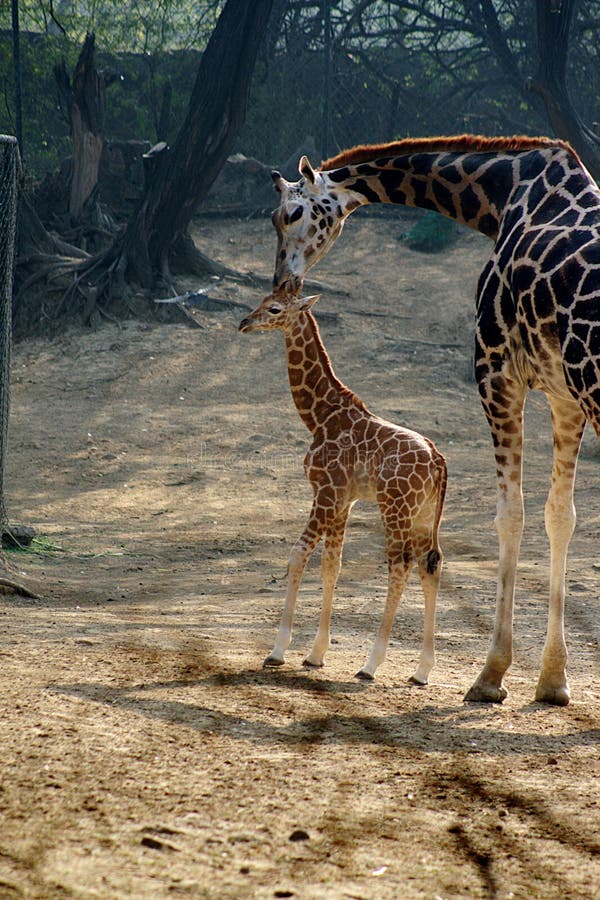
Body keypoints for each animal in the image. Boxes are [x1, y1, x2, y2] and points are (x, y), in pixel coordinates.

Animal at [239, 292, 447, 682]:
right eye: (263, 299)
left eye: (275, 308)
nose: (244, 323)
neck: (319, 416)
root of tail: (438, 461)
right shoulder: (343, 501)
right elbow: (331, 566)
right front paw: (315, 654)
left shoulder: (325, 491)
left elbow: (298, 557)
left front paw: (278, 651)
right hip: (425, 514)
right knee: (431, 565)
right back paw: (422, 671)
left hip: (395, 508)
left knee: (400, 566)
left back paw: (370, 665)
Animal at [268, 134, 600, 706]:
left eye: (289, 214)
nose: (282, 281)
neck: (499, 197)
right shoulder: (563, 395)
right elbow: (560, 515)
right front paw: (552, 681)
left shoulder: (496, 368)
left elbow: (510, 515)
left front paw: (491, 675)